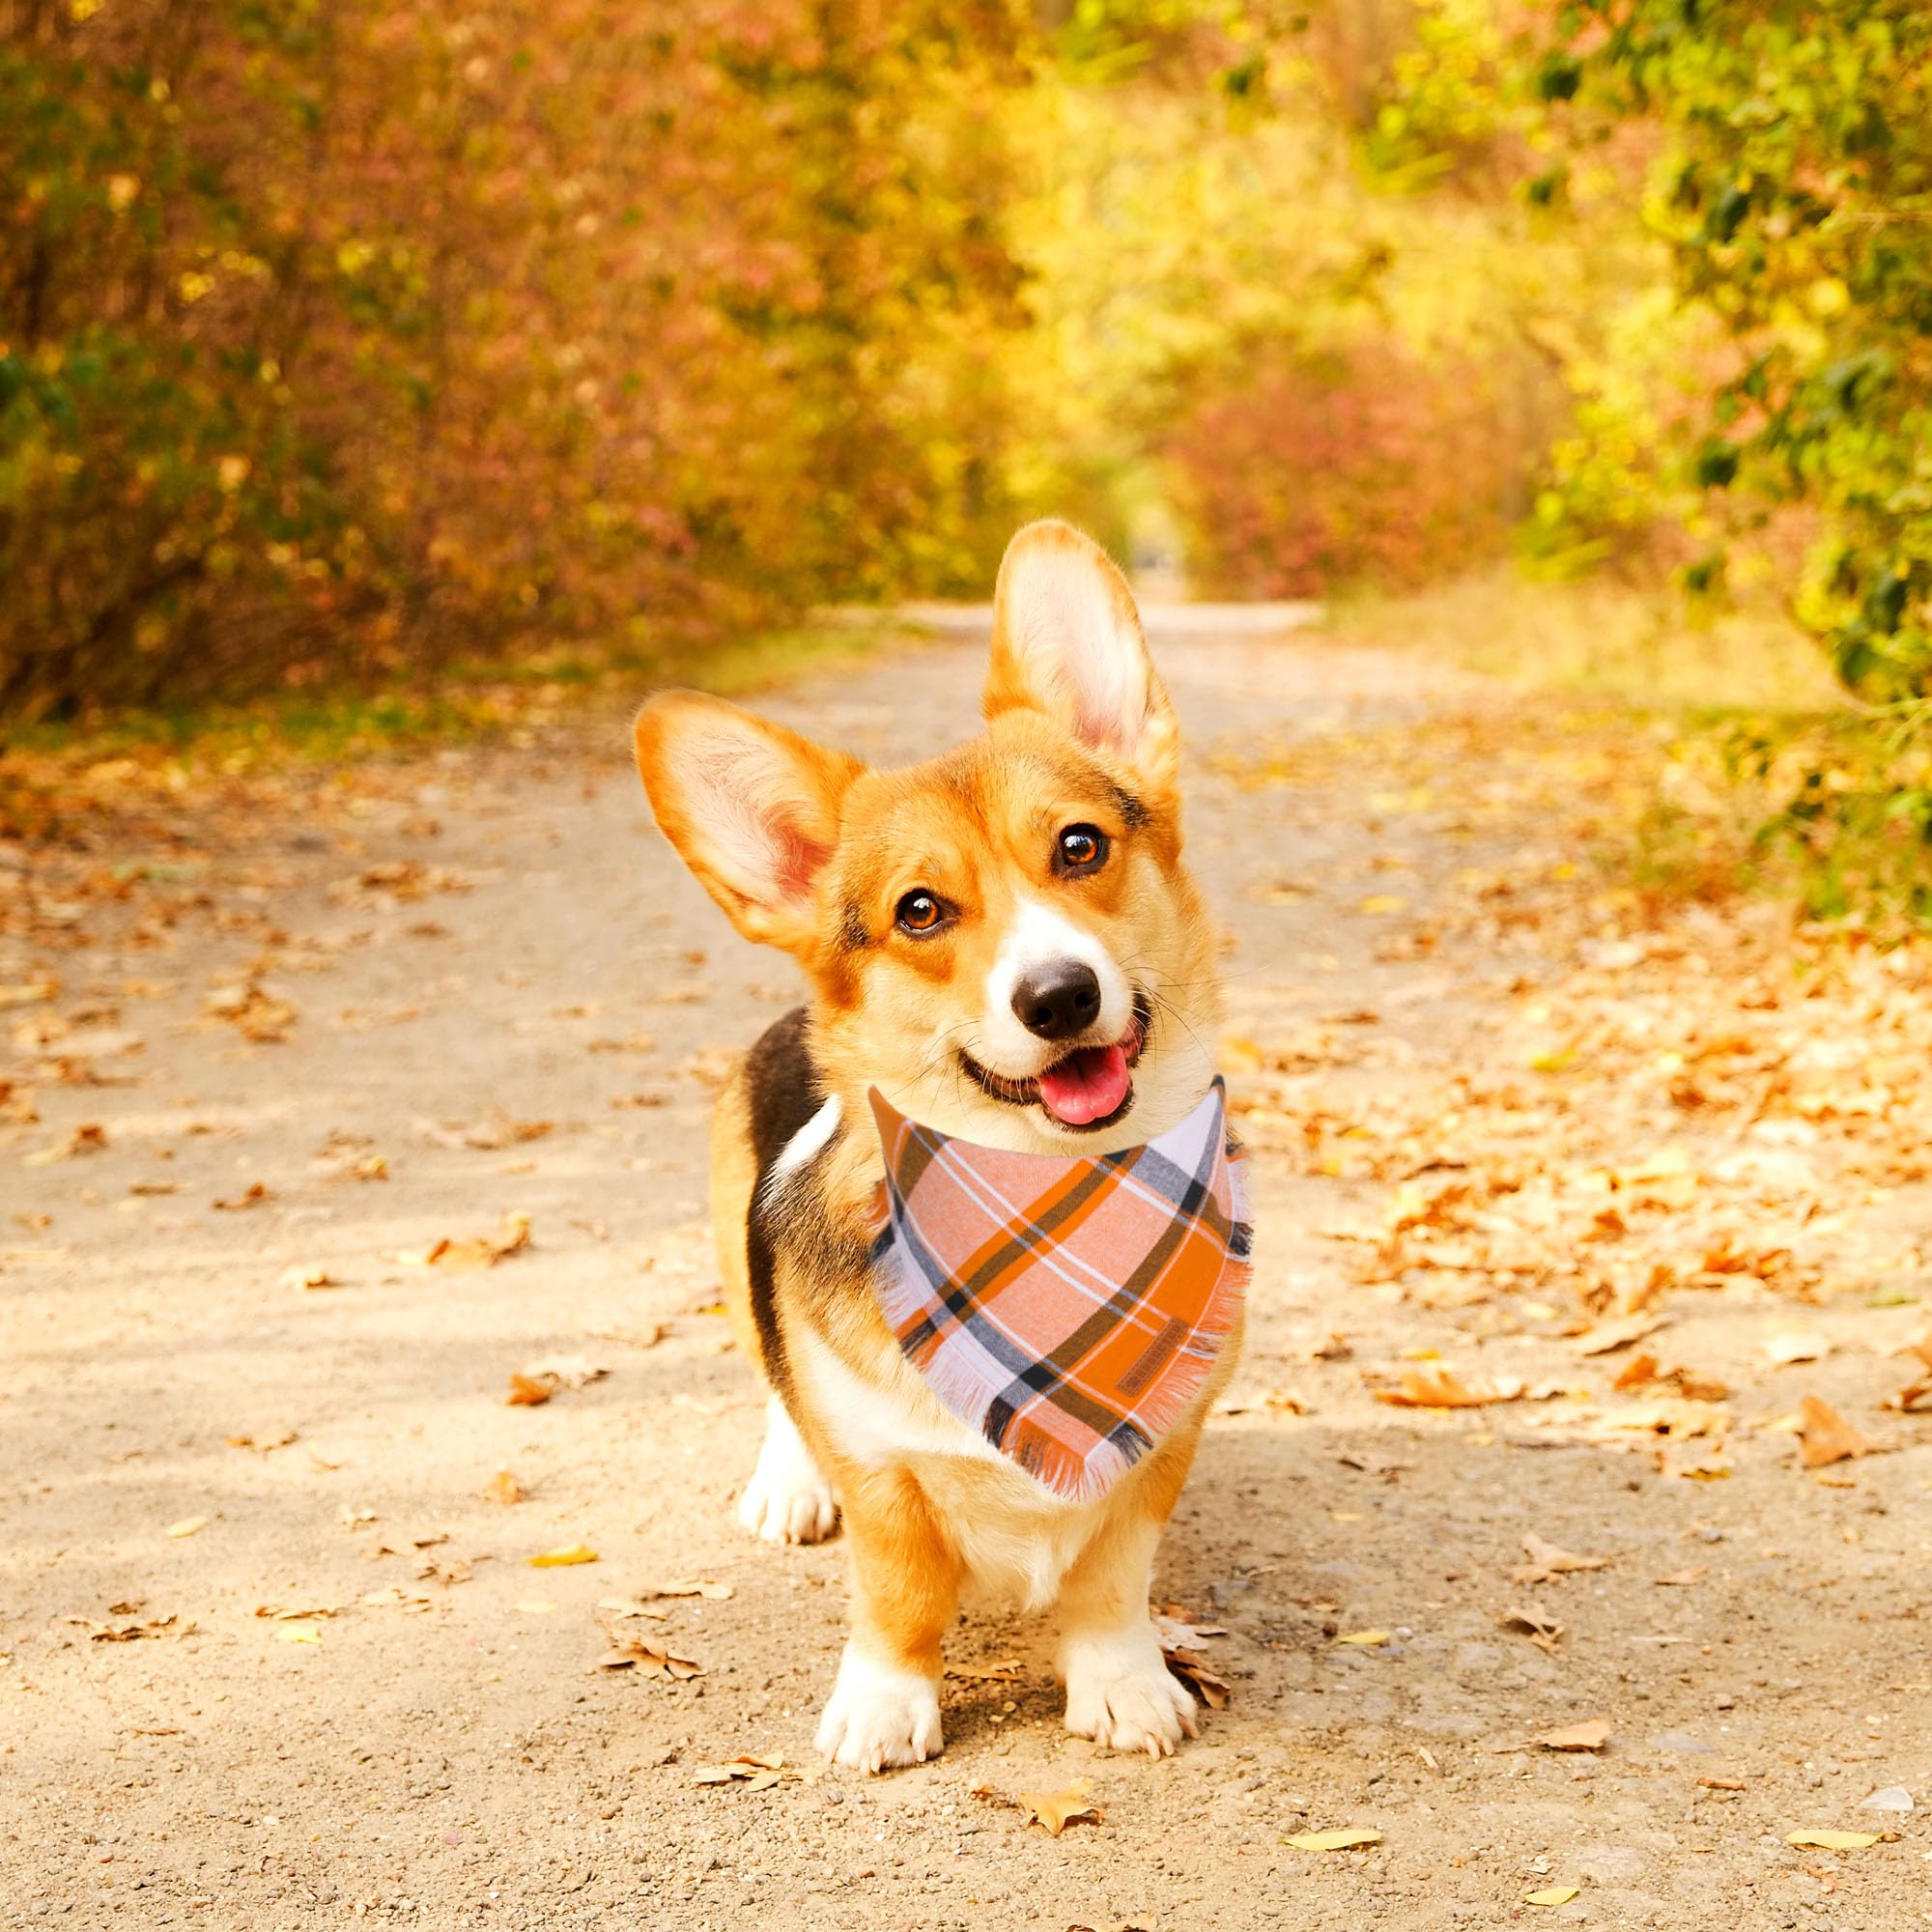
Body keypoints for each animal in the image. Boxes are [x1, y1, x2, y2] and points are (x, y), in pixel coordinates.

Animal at [634, 522, 1236, 1770]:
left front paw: (1122, 1680)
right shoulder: (883, 1473)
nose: (1058, 996)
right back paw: (786, 1484)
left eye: (1078, 845)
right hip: (734, 1255)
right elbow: (899, 1589)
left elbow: (1110, 1580)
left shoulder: (1158, 1452)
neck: (1044, 1204)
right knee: (774, 1379)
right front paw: (884, 1701)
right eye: (919, 910)